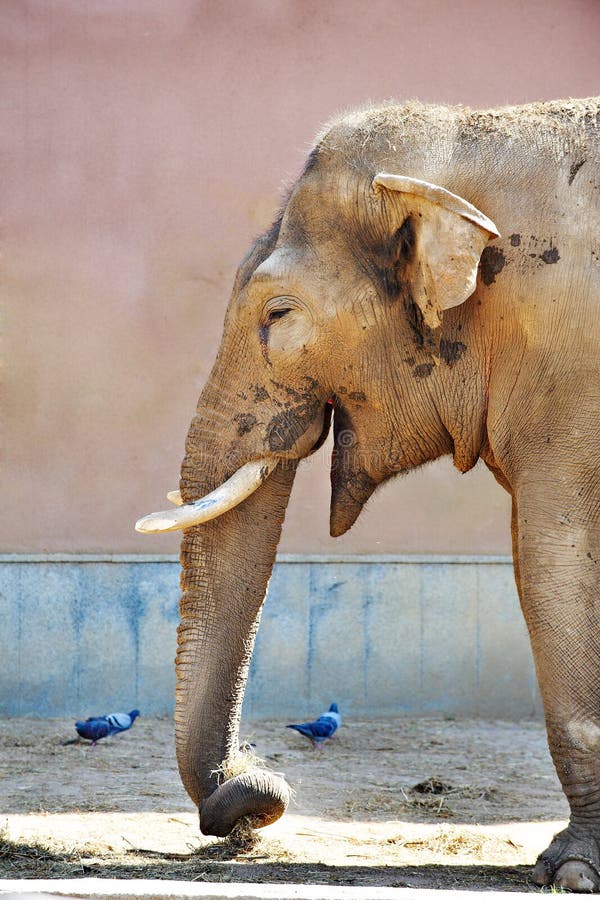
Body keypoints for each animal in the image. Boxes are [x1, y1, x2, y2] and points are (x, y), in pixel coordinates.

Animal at [136, 97, 600, 891]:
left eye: (278, 314)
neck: (472, 139)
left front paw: (569, 871)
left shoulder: (569, 374)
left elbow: (553, 563)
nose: (258, 794)